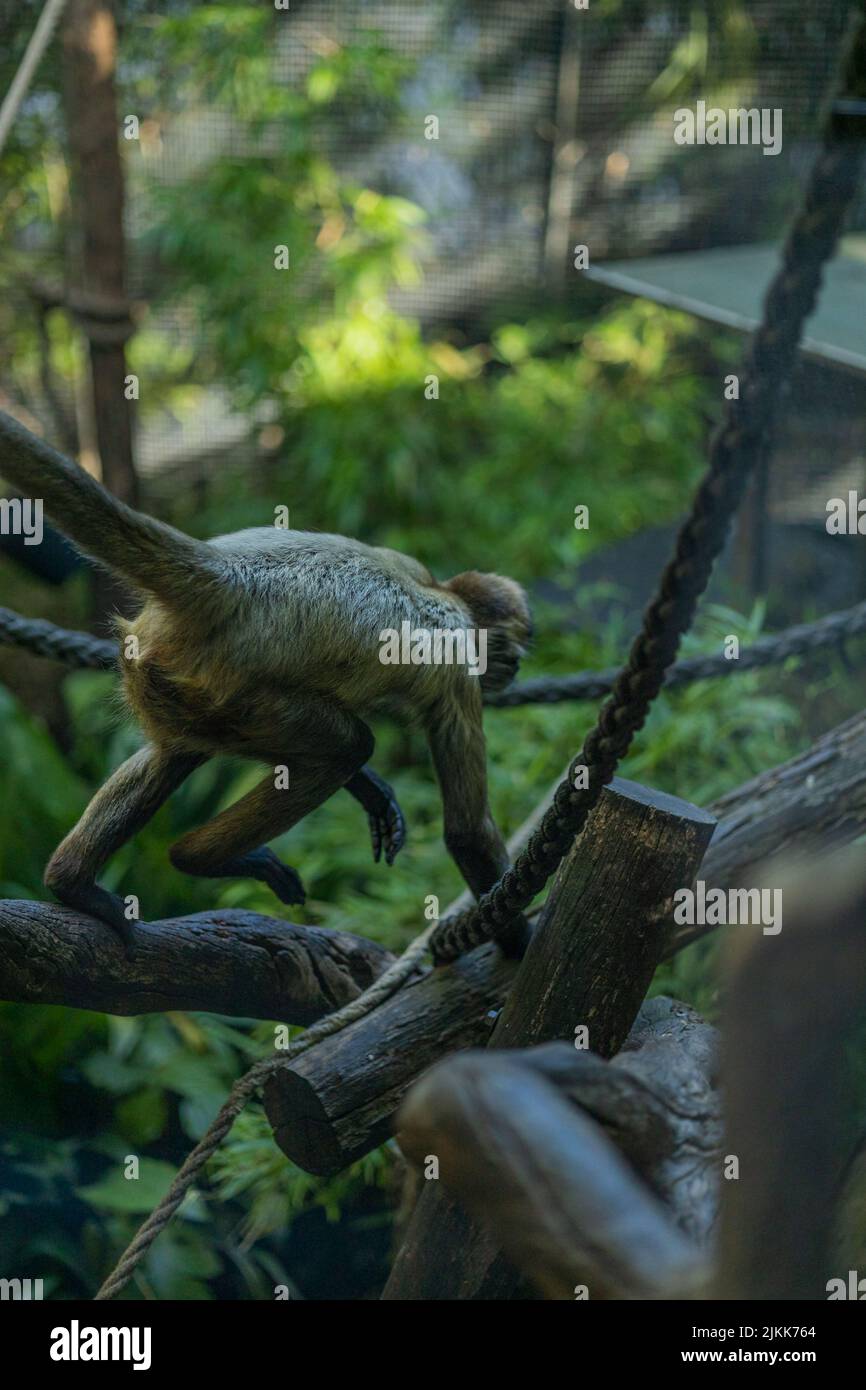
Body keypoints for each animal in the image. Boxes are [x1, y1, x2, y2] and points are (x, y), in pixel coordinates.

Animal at [0, 410, 532, 952]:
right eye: (515, 644)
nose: (519, 664)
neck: (441, 591)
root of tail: (230, 578)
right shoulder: (459, 670)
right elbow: (466, 832)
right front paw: (517, 946)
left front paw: (371, 790)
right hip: (242, 694)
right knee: (348, 746)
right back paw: (195, 858)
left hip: (169, 676)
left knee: (179, 752)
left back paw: (72, 882)